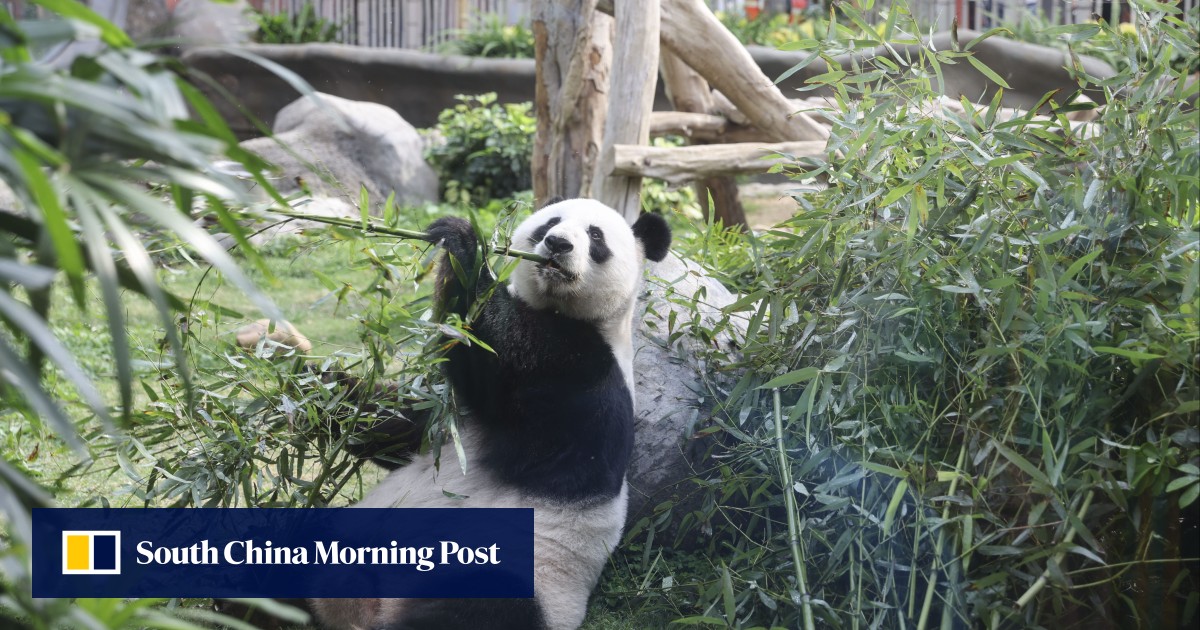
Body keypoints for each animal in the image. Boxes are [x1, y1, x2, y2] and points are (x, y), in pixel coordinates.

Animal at [309, 198, 671, 630]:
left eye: (596, 236)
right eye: (551, 222)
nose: (558, 244)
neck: (562, 311)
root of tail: (363, 610)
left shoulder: (584, 379)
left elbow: (495, 357)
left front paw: (464, 244)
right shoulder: (449, 415)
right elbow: (403, 427)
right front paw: (308, 386)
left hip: (514, 582)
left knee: (463, 612)